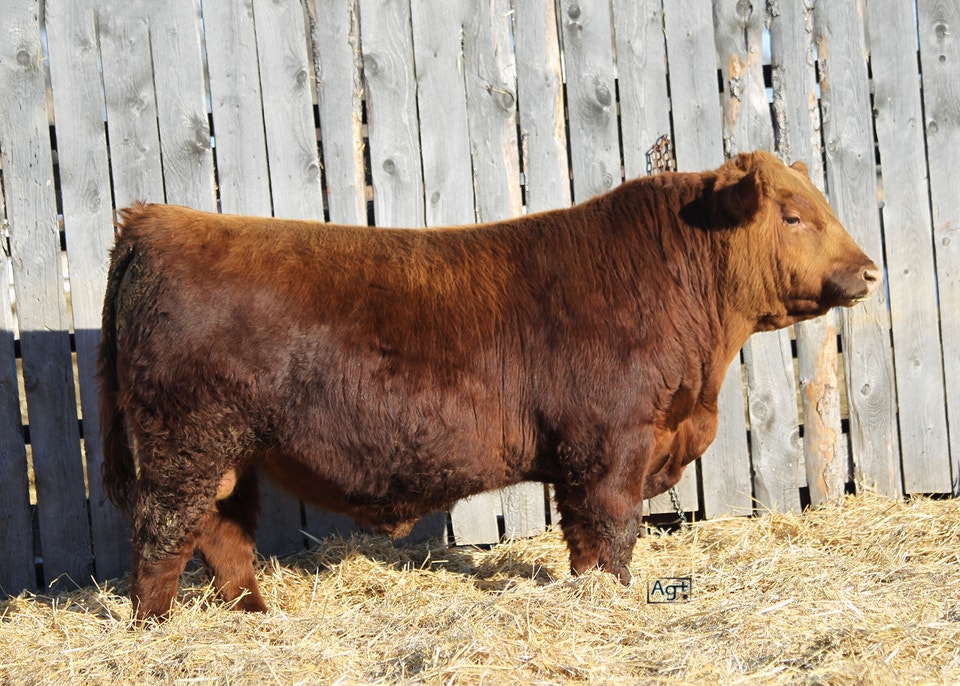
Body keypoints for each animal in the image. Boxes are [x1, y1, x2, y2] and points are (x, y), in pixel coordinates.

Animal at [98, 151, 880, 620]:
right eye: (793, 215)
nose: (870, 269)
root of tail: (152, 220)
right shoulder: (611, 447)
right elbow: (612, 530)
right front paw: (612, 599)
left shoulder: (584, 457)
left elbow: (584, 536)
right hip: (185, 442)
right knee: (161, 533)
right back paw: (157, 627)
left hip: (230, 454)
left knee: (222, 532)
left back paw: (254, 615)